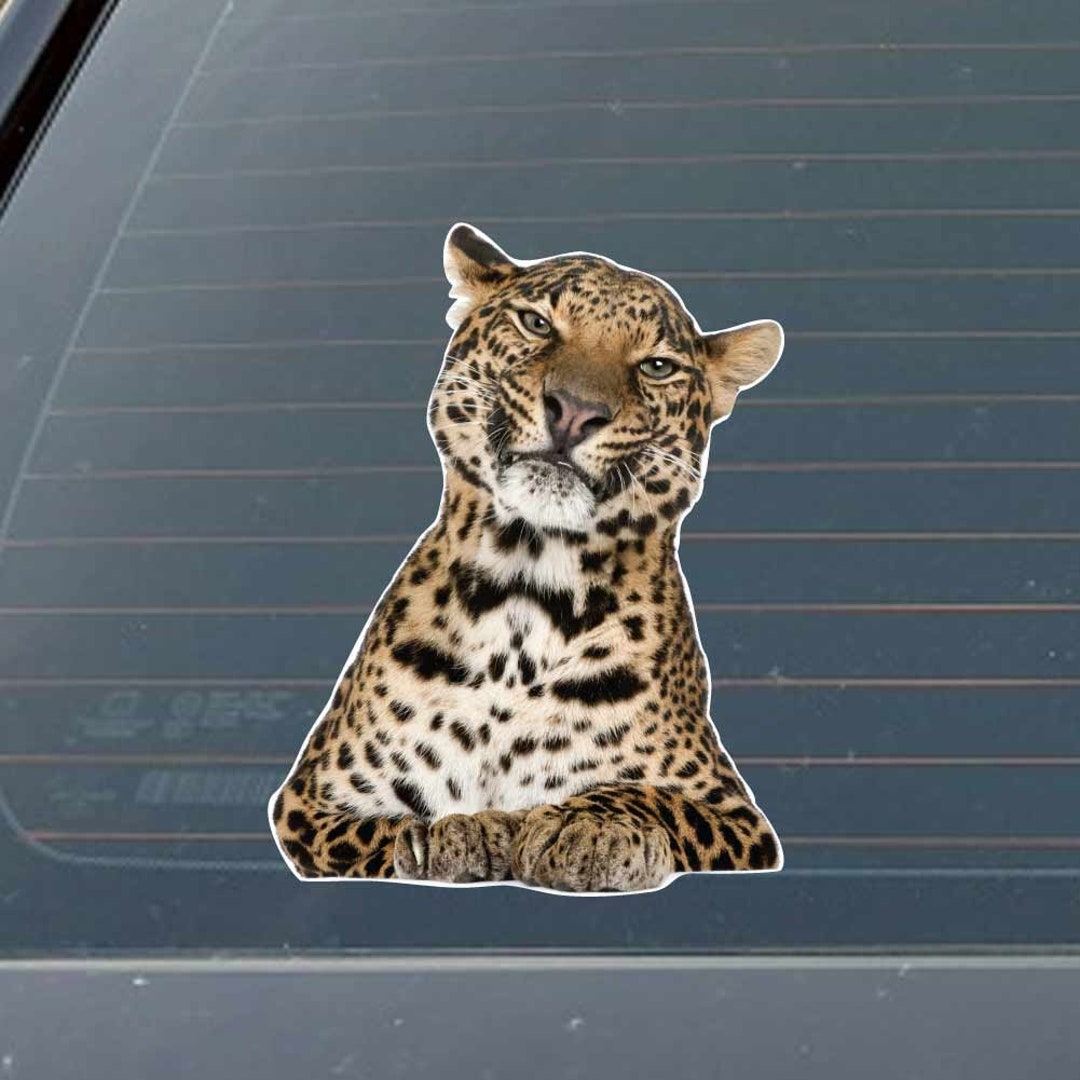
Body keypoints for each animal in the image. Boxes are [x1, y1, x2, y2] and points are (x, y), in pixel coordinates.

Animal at [268, 222, 785, 893]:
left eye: (657, 366)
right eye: (538, 323)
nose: (575, 410)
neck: (525, 586)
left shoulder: (737, 814)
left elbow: (647, 796)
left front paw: (583, 829)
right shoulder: (310, 800)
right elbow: (382, 831)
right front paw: (458, 834)